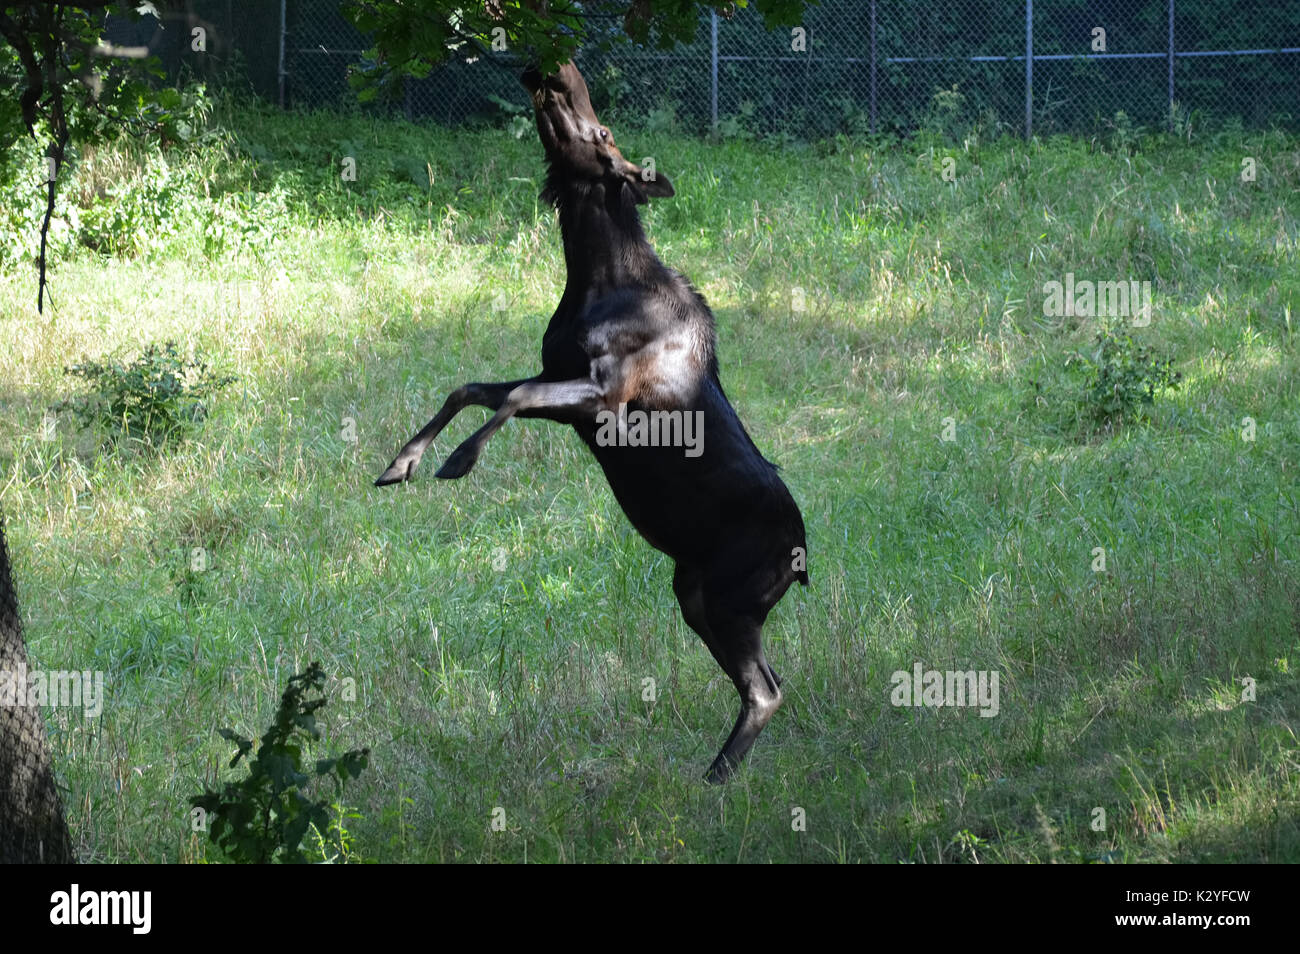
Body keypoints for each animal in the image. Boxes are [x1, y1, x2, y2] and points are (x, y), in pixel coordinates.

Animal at [376, 61, 808, 783]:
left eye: (602, 132)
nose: (557, 68)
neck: (591, 275)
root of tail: (803, 560)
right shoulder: (559, 380)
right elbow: (473, 389)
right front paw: (399, 462)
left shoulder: (606, 397)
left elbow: (513, 398)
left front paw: (456, 461)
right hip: (694, 591)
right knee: (761, 684)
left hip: (729, 598)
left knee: (766, 689)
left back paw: (716, 777)